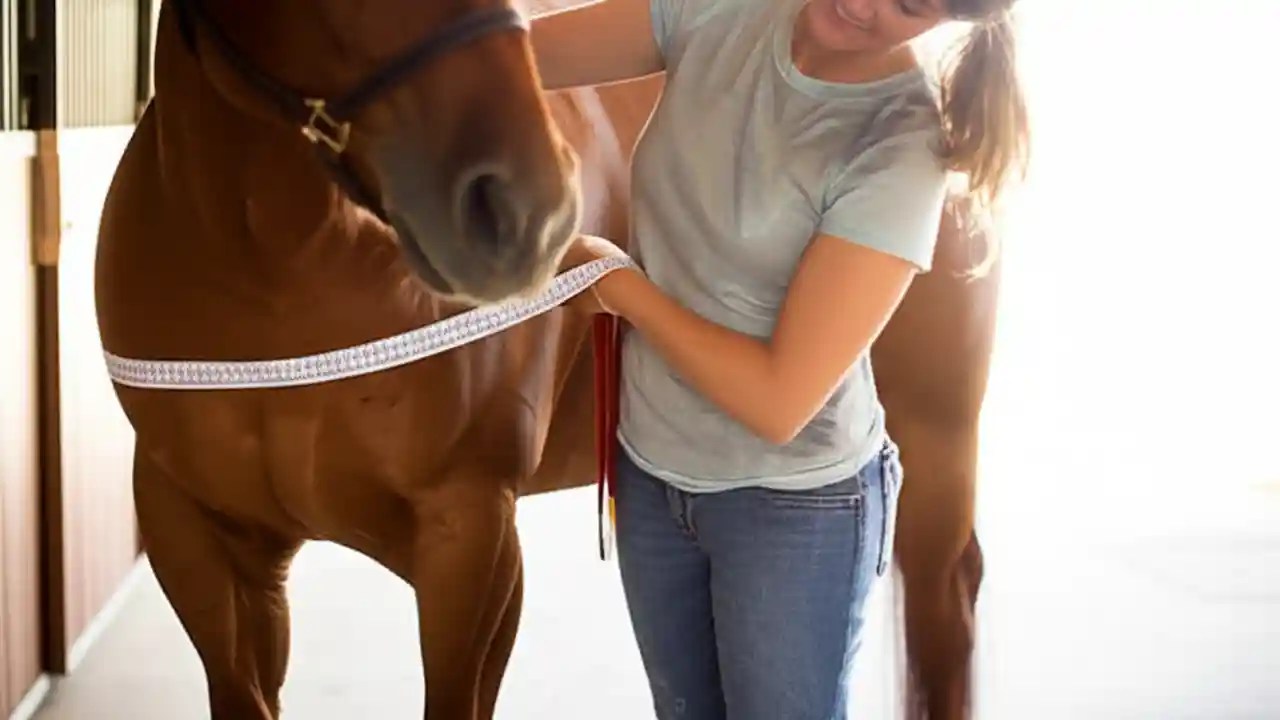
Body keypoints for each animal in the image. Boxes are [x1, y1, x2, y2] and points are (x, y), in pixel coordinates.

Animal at [93, 0, 994, 718]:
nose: (527, 209)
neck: (276, 282)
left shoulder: (470, 534)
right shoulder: (199, 534)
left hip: (936, 437)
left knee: (943, 601)